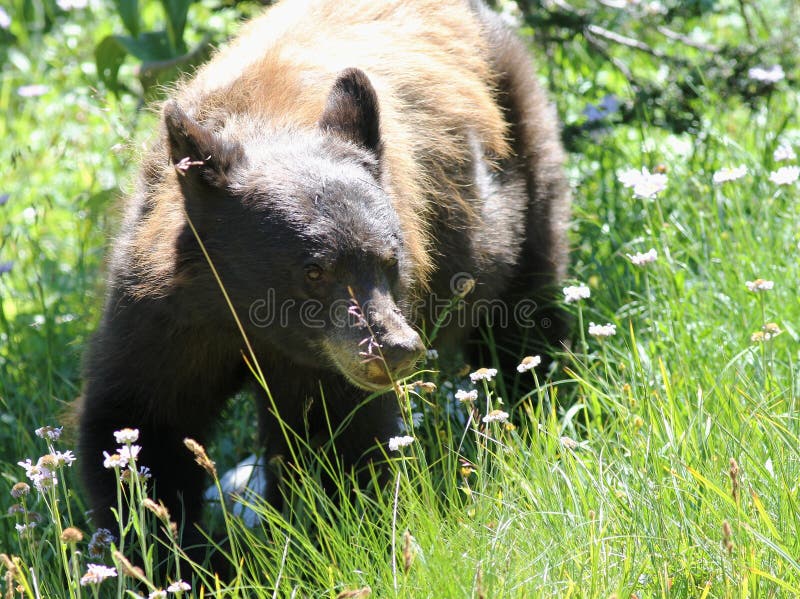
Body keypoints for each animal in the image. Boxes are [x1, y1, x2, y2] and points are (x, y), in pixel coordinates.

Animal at [77, 0, 570, 556]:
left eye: (390, 260)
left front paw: (340, 541)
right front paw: (166, 555)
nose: (397, 349)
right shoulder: (164, 315)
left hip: (525, 167)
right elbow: (140, 423)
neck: (246, 319)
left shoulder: (326, 364)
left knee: (524, 311)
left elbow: (339, 441)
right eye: (314, 269)